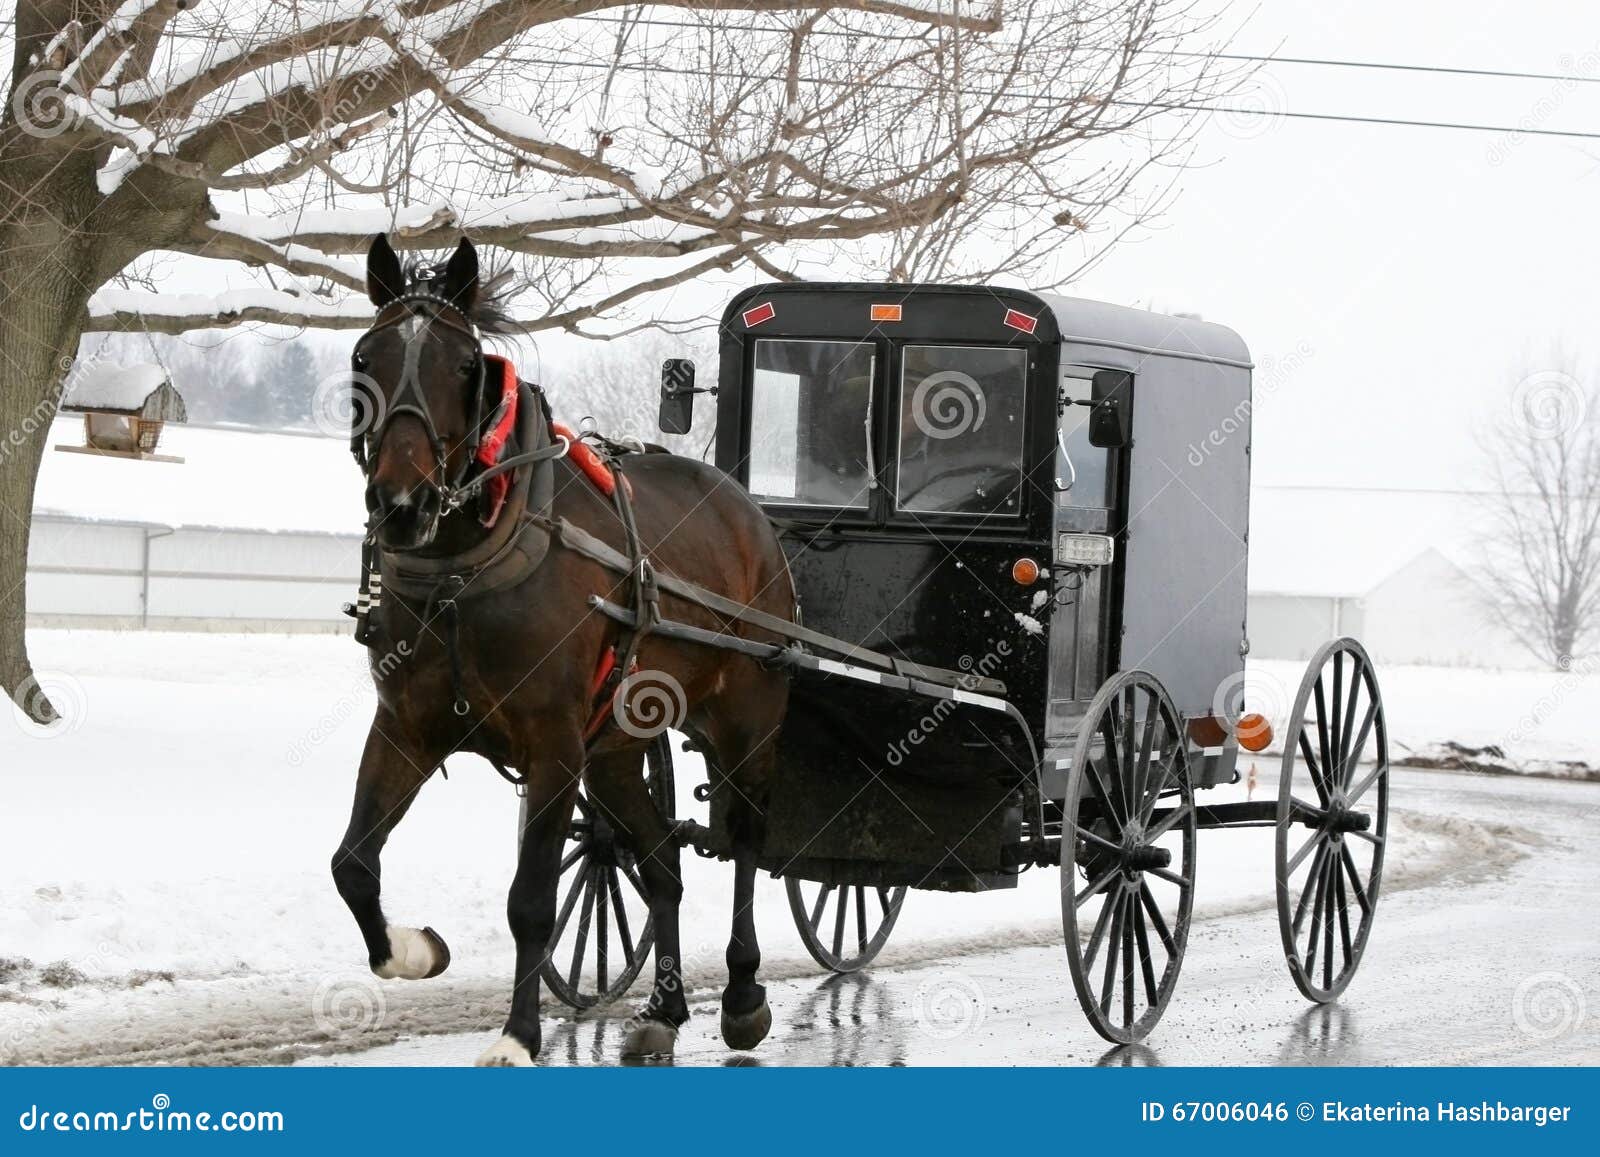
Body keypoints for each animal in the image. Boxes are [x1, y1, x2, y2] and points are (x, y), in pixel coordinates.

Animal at [330, 233, 794, 1065]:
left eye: (463, 364)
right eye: (364, 355)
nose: (402, 504)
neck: (468, 565)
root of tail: (747, 508)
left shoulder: (552, 743)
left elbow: (532, 900)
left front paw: (517, 1034)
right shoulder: (407, 727)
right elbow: (353, 863)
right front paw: (416, 949)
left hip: (746, 718)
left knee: (746, 840)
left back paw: (742, 993)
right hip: (615, 747)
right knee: (660, 860)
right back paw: (665, 1006)